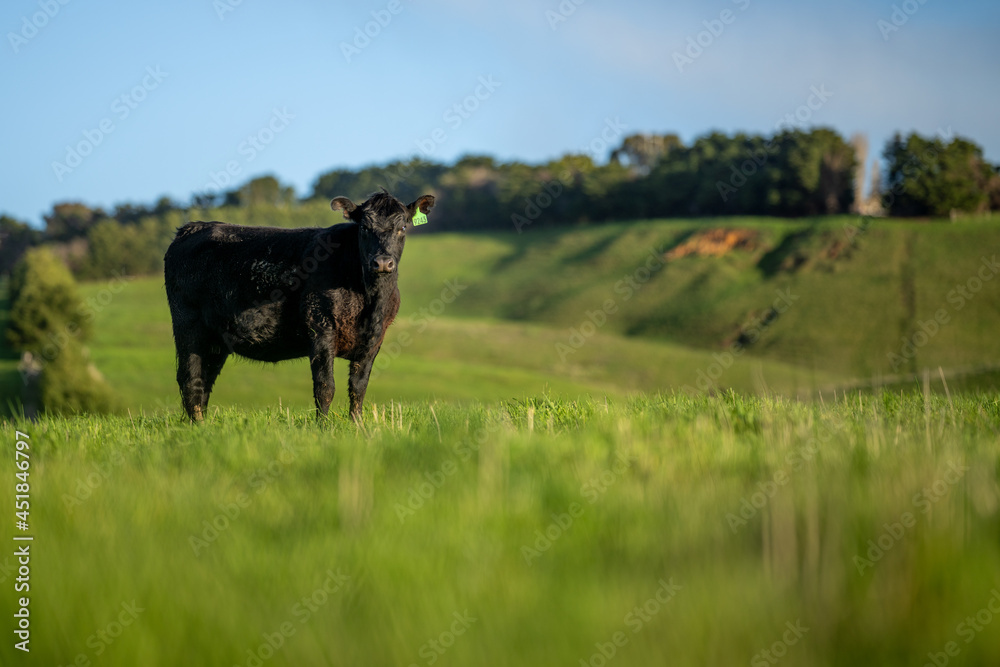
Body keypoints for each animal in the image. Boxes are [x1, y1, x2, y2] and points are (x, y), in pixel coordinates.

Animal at [163, 189, 435, 422]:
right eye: (364, 228)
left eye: (402, 227)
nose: (382, 262)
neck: (369, 300)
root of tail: (194, 227)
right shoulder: (320, 326)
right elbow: (325, 386)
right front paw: (323, 429)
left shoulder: (374, 338)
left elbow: (358, 387)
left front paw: (358, 427)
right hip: (189, 326)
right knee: (190, 379)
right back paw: (196, 428)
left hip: (217, 339)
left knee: (204, 381)